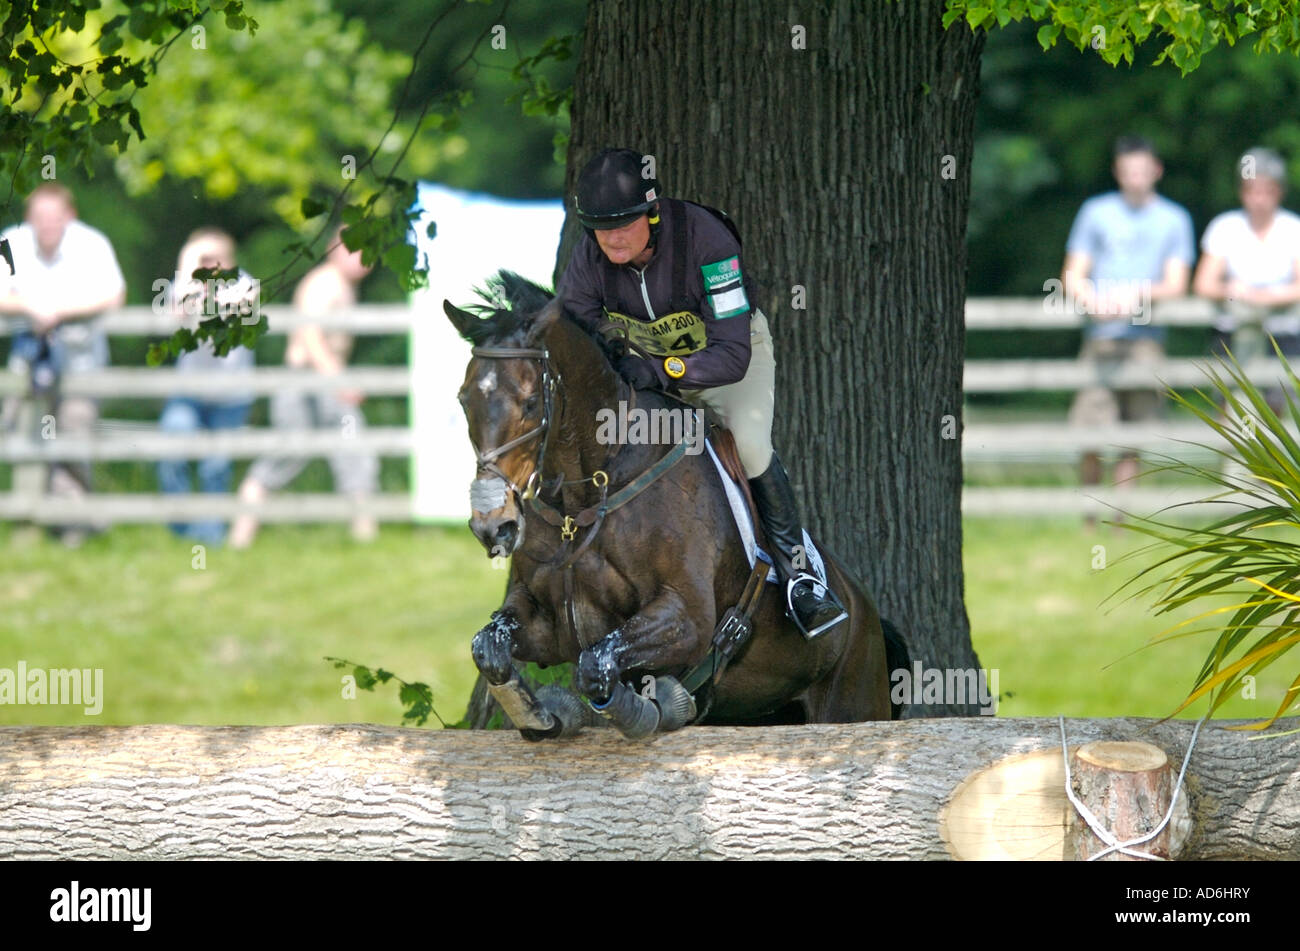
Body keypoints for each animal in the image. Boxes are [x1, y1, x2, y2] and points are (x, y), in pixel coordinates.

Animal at [444, 270, 908, 740]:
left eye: (530, 403)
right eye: (464, 399)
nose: (493, 526)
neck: (588, 493)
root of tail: (868, 615)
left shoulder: (688, 618)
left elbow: (596, 664)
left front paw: (652, 708)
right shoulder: (545, 622)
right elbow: (489, 646)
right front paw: (540, 716)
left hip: (850, 698)